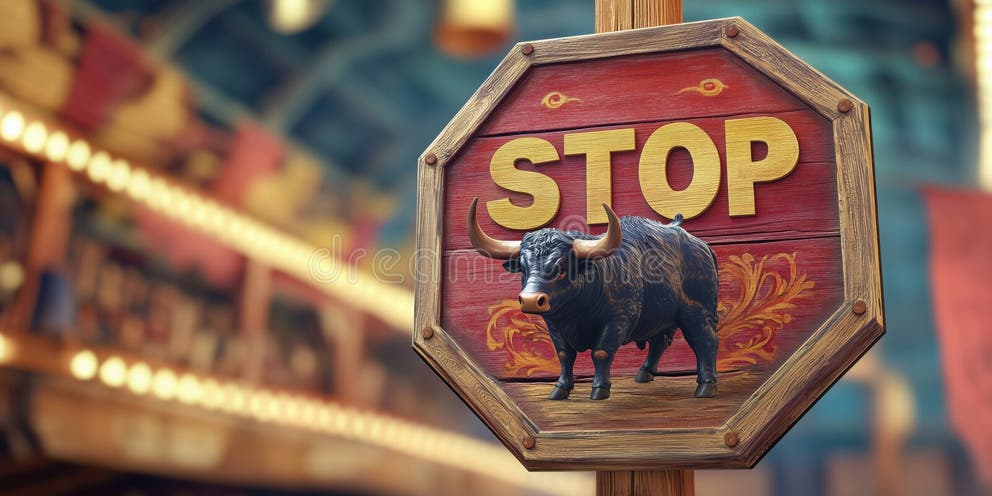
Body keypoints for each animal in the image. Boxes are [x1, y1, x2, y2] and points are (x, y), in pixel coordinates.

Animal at [468, 197, 719, 400]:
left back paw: (706, 386)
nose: (530, 300)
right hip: (663, 315)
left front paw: (600, 389)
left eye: (562, 267)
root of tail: (701, 246)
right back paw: (644, 374)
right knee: (660, 342)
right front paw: (560, 389)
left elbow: (601, 352)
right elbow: (564, 355)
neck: (575, 314)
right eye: (523, 267)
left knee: (705, 341)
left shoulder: (617, 320)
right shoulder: (554, 325)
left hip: (697, 312)